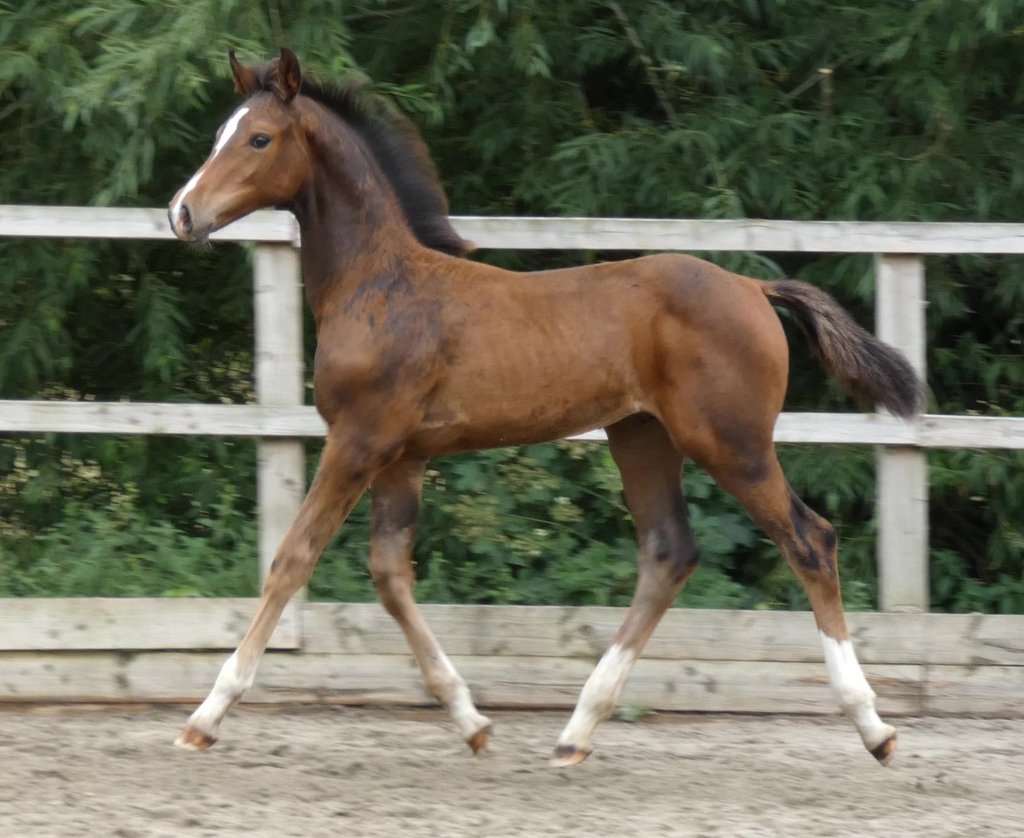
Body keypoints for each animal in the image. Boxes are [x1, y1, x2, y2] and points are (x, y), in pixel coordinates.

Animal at [168, 48, 922, 767]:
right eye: (221, 133)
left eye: (260, 137)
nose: (182, 213)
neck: (380, 285)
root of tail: (753, 287)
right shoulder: (402, 455)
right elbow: (389, 575)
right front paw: (472, 723)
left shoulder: (358, 441)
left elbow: (293, 558)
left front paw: (206, 717)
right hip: (641, 436)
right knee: (669, 552)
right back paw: (575, 732)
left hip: (731, 444)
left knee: (810, 542)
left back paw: (875, 727)